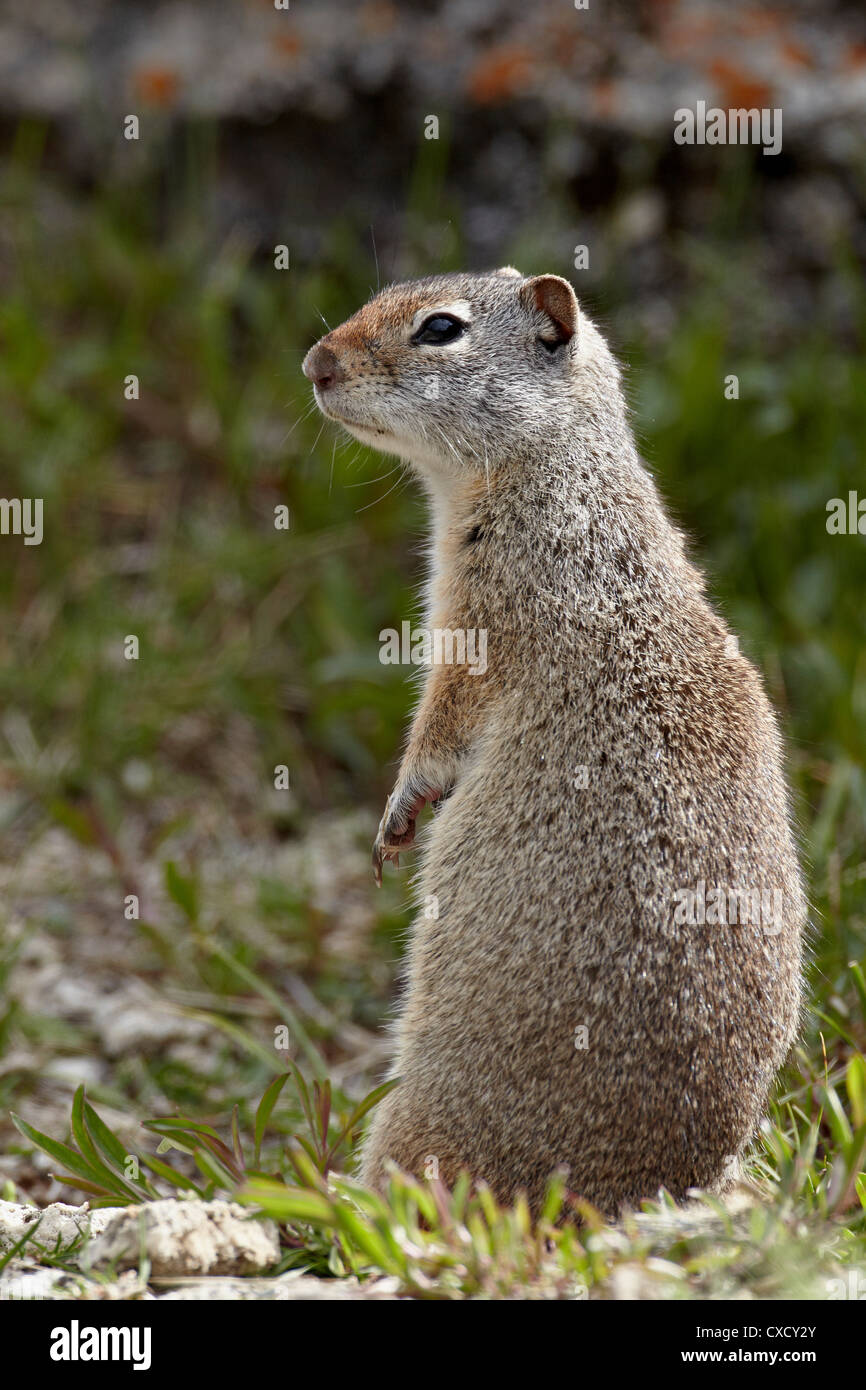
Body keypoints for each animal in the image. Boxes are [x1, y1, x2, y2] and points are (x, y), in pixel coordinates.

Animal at [302, 267, 806, 1217]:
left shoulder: (479, 625)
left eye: (440, 329)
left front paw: (399, 814)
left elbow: (439, 726)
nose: (315, 363)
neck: (556, 467)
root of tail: (653, 1194)